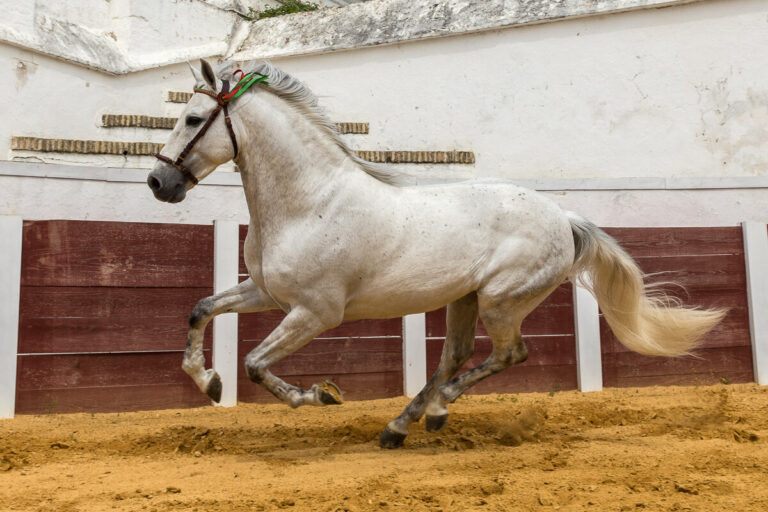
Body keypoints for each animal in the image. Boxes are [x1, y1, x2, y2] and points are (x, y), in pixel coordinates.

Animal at [147, 60, 725, 449]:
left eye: (193, 118)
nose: (158, 182)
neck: (310, 201)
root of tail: (564, 217)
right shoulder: (267, 293)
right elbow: (201, 309)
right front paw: (207, 382)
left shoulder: (314, 312)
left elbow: (254, 363)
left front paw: (320, 395)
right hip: (464, 299)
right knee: (455, 355)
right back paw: (399, 426)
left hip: (501, 300)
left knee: (509, 355)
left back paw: (436, 412)